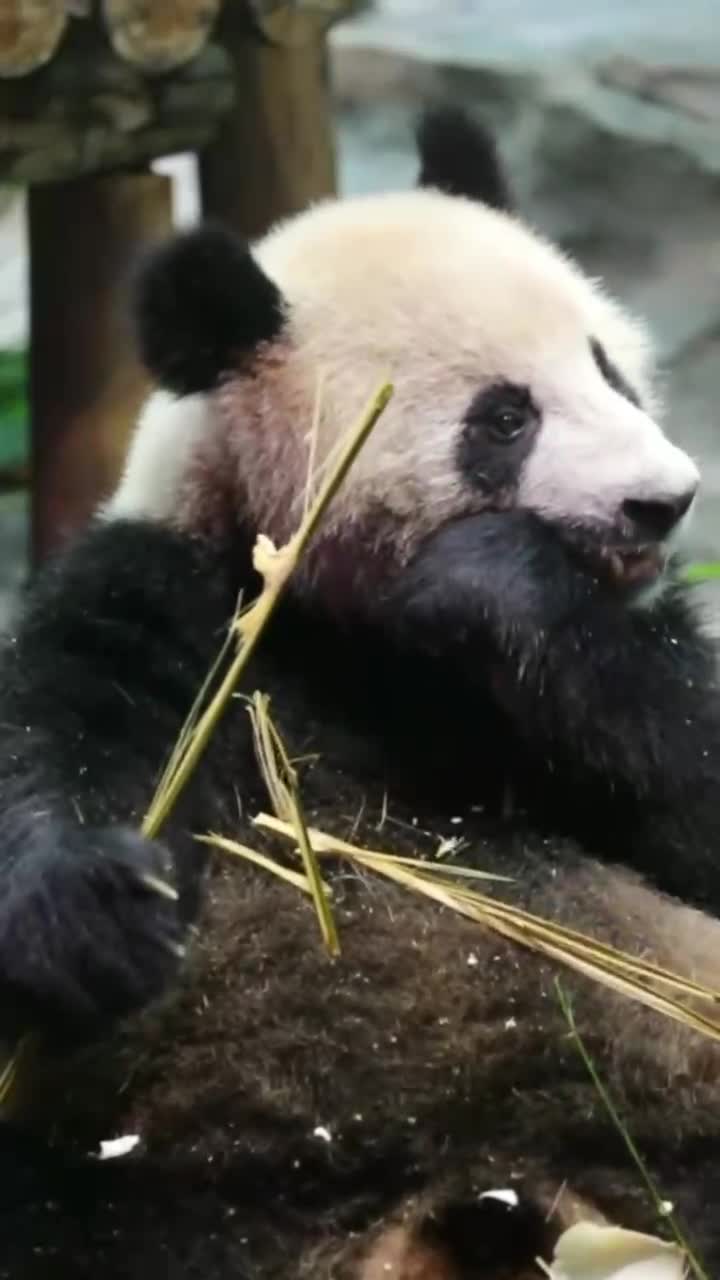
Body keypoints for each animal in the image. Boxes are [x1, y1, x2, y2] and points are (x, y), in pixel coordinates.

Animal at [1, 105, 720, 1279]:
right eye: (503, 419)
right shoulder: (169, 601)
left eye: (609, 368)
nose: (664, 501)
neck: (351, 633)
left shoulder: (626, 650)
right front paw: (99, 910)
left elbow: (693, 773)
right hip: (151, 1202)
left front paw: (491, 582)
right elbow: (52, 740)